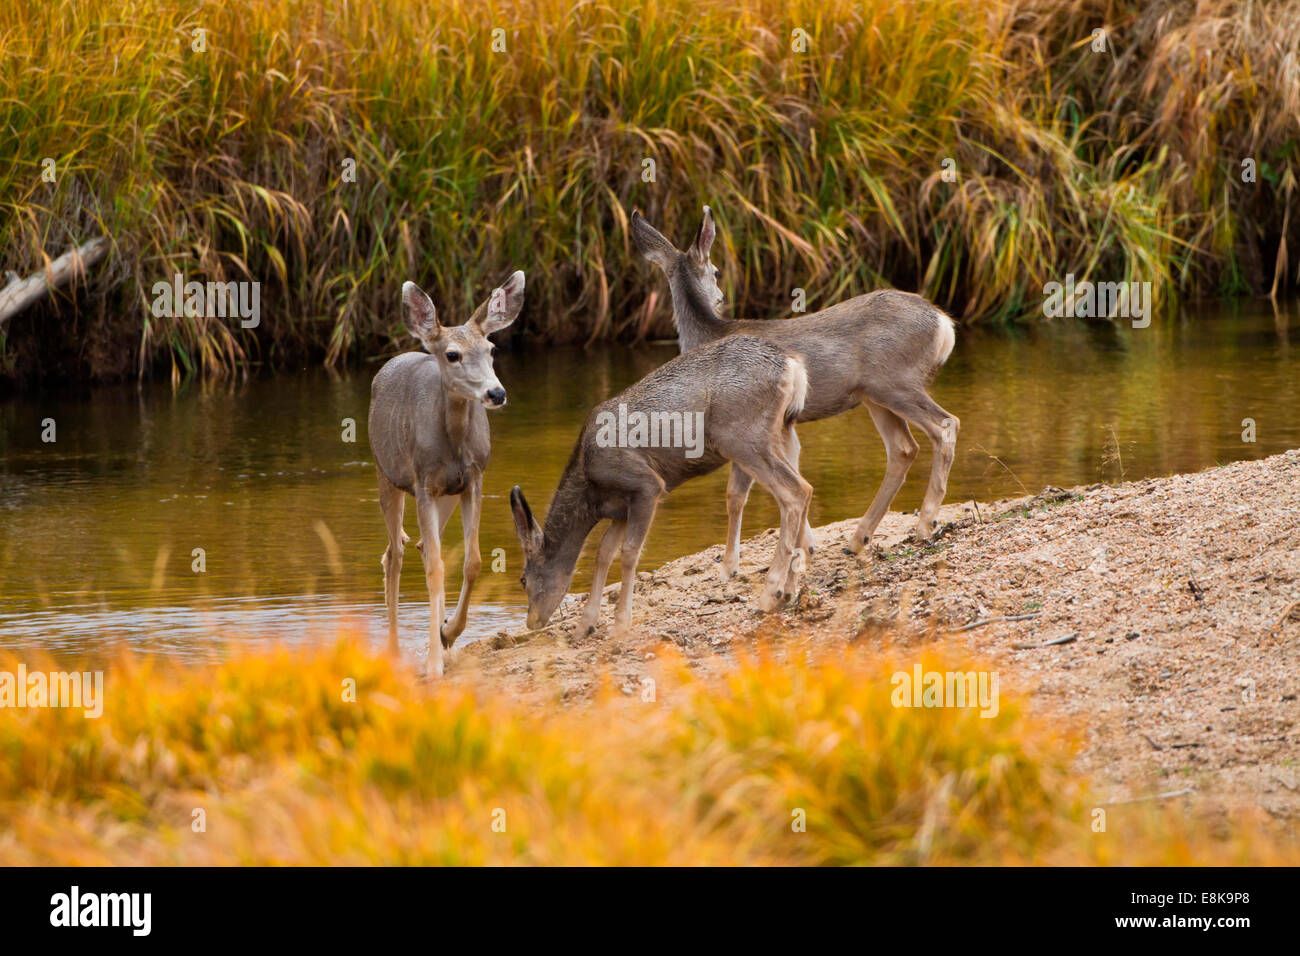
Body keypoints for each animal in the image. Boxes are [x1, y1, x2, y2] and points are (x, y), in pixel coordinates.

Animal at [368, 271, 525, 675]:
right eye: (452, 355)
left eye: (492, 349)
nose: (497, 393)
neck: (453, 443)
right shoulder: (423, 483)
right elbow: (436, 569)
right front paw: (434, 665)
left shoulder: (473, 480)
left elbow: (472, 561)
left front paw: (448, 633)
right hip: (386, 473)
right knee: (395, 554)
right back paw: (394, 651)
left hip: (447, 495)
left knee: (421, 547)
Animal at [509, 334, 812, 639]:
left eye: (522, 579)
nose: (531, 622)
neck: (590, 493)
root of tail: (792, 366)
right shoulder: (620, 509)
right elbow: (603, 553)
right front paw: (586, 625)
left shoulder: (646, 484)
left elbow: (629, 552)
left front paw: (621, 623)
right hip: (782, 428)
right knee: (805, 487)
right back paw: (788, 592)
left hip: (740, 435)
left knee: (794, 491)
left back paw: (770, 595)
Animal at [631, 206, 959, 580]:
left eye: (715, 271)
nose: (721, 295)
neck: (709, 335)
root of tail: (944, 322)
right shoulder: (786, 424)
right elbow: (795, 471)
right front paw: (806, 549)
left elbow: (735, 495)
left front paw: (730, 566)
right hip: (875, 394)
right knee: (903, 449)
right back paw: (858, 539)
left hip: (895, 381)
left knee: (944, 424)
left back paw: (924, 523)